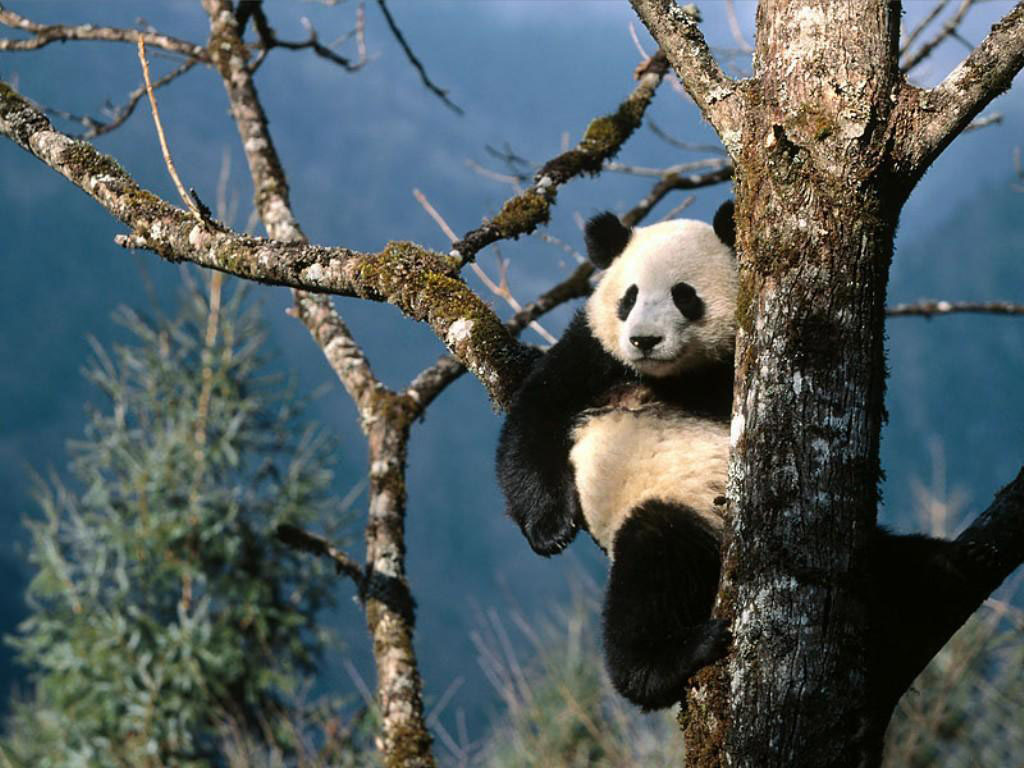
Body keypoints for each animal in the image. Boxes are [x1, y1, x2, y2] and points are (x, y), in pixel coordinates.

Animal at [496, 202, 738, 711]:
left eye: (684, 296)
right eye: (629, 297)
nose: (644, 340)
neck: (672, 376)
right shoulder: (594, 351)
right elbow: (534, 420)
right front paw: (550, 530)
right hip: (676, 507)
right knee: (655, 565)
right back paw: (669, 660)